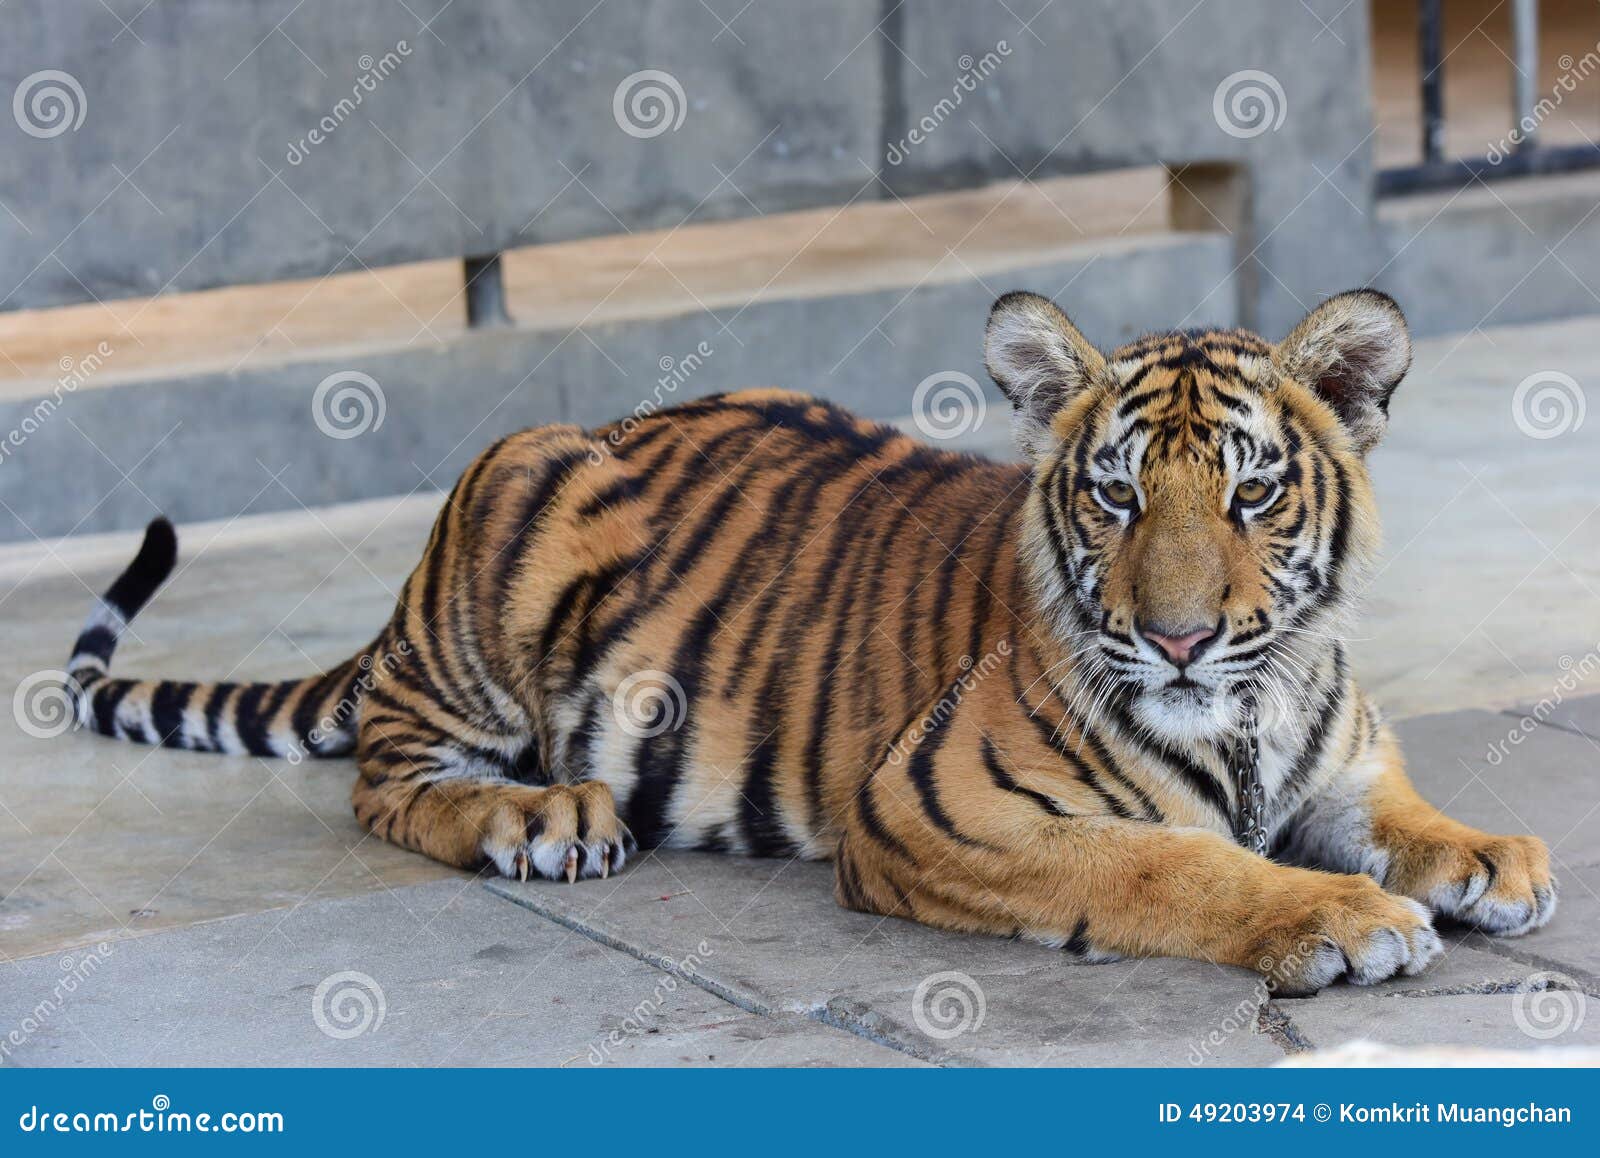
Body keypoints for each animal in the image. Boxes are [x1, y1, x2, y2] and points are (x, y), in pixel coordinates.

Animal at [62, 288, 1555, 994]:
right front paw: (1343, 919)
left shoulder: (1338, 761)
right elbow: (1170, 864)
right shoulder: (935, 803)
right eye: (1117, 495)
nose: (1180, 639)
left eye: (1252, 494)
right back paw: (538, 815)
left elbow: (1400, 806)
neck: (1246, 713)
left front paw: (1490, 856)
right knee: (390, 777)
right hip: (509, 505)